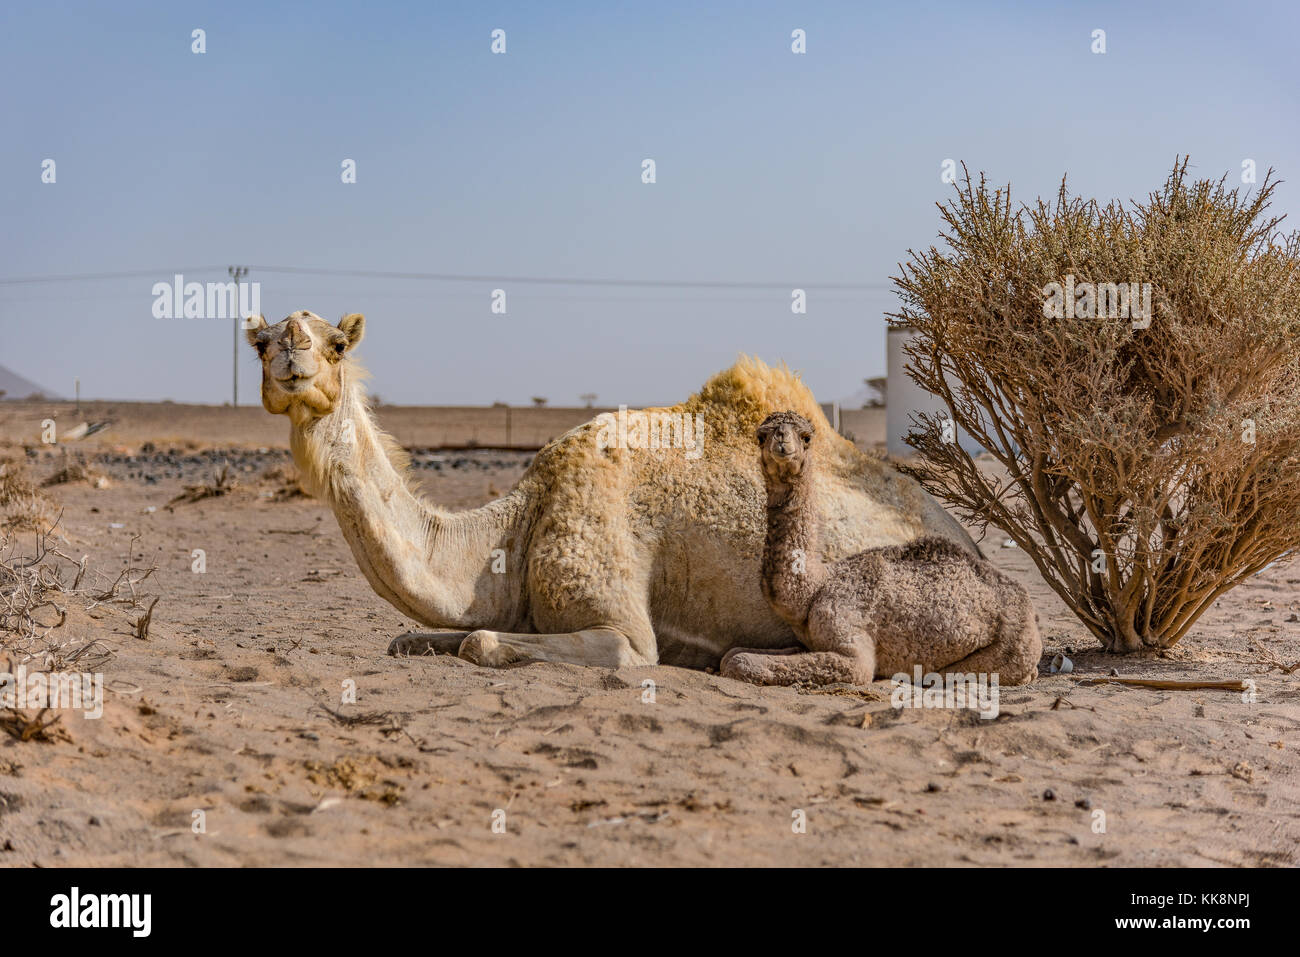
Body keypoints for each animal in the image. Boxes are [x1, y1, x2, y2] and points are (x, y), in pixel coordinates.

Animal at [245, 310, 980, 671]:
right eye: (258, 342)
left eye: (338, 344)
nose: (291, 360)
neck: (514, 531)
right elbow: (411, 639)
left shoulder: (620, 625)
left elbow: (487, 642)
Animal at [721, 411, 1041, 686]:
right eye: (761, 436)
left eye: (806, 437)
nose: (782, 443)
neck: (815, 589)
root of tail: (1029, 608)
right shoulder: (806, 641)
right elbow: (731, 654)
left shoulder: (851, 642)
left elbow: (738, 661)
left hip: (1010, 647)